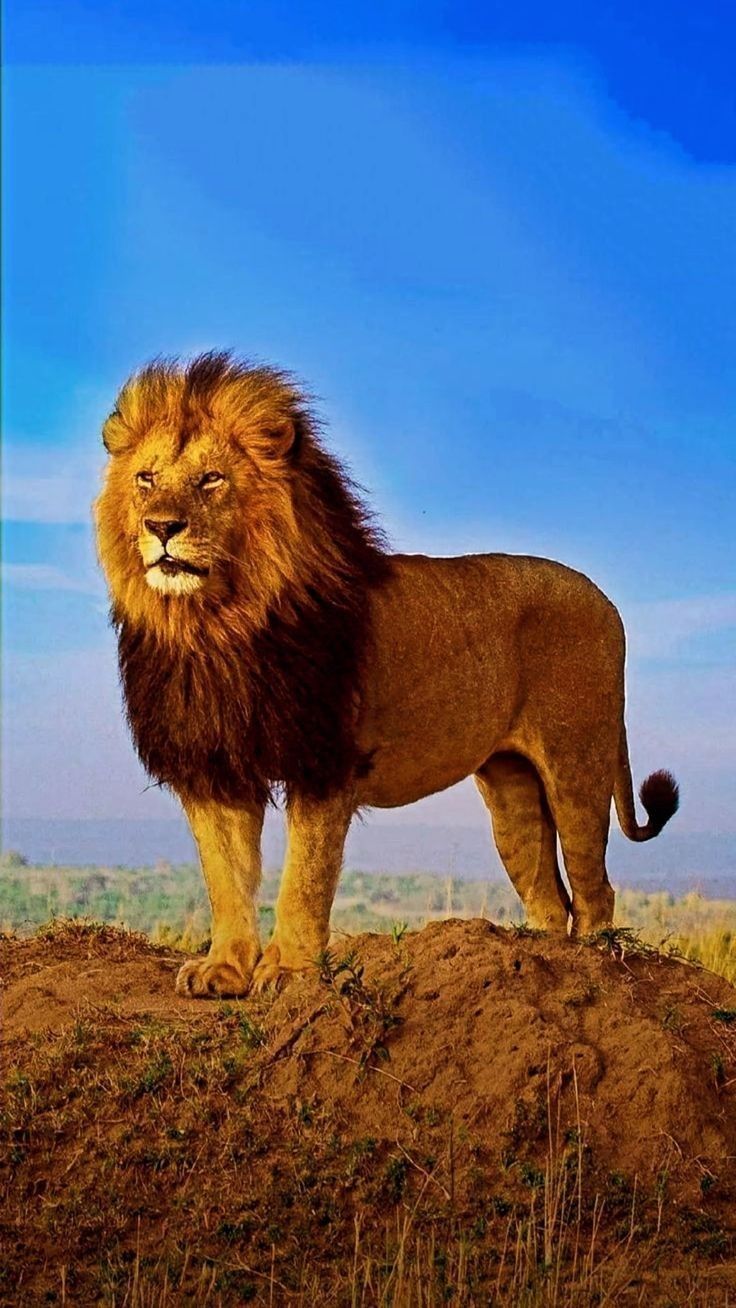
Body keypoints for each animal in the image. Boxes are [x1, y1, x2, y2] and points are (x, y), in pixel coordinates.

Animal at [94, 351, 678, 997]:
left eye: (211, 480)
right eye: (146, 479)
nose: (160, 526)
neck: (216, 628)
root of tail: (605, 599)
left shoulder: (325, 762)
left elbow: (304, 880)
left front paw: (288, 971)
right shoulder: (214, 765)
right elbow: (226, 878)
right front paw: (224, 969)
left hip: (577, 760)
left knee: (595, 890)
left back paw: (594, 971)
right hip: (512, 787)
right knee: (549, 895)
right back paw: (532, 970)